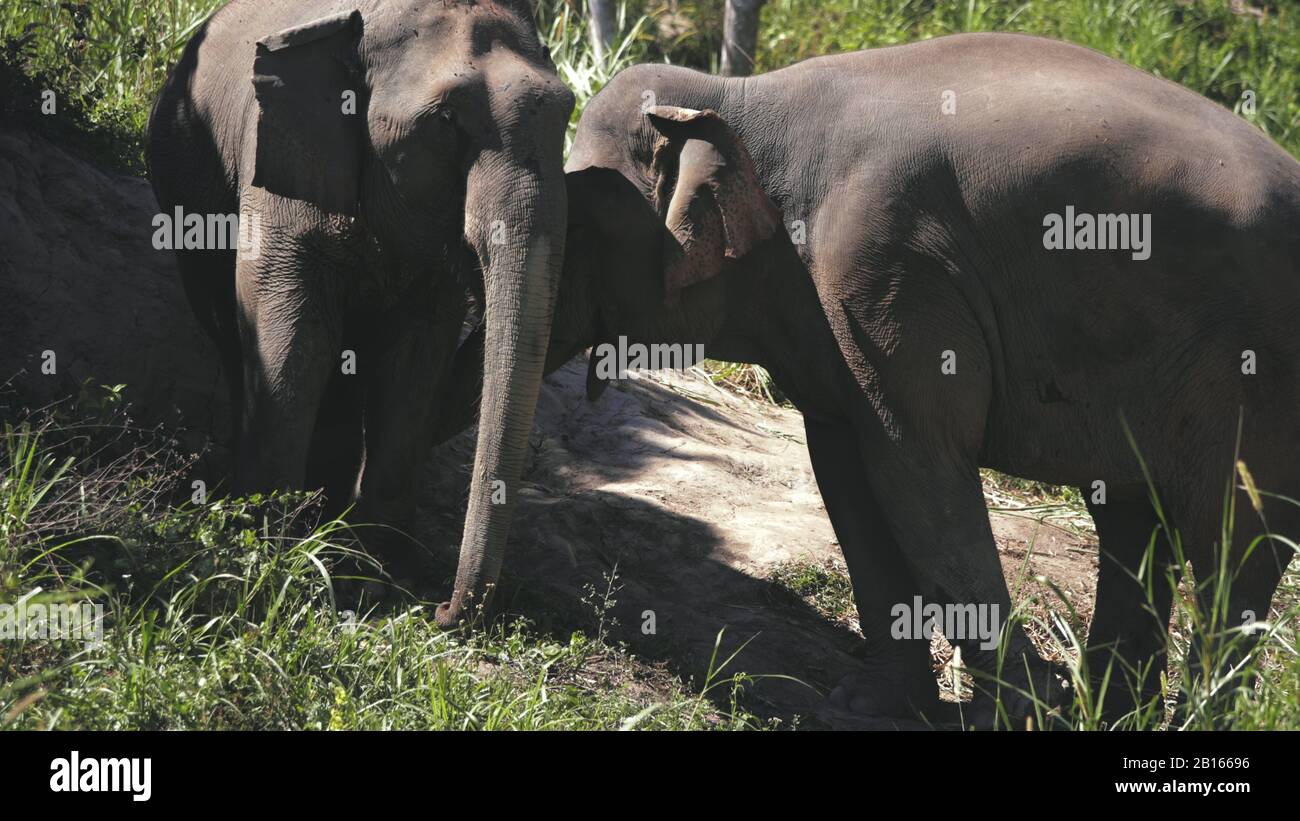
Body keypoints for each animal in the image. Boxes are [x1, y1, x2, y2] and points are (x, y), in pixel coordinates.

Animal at [147, 0, 574, 619]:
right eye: (447, 122)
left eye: (567, 117)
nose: (442, 611)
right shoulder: (284, 167)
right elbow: (294, 333)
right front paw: (267, 545)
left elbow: (417, 356)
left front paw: (379, 576)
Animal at [525, 32, 1299, 724]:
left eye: (579, 229)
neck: (740, 98)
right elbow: (847, 475)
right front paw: (865, 706)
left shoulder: (885, 269)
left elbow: (917, 469)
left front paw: (1020, 710)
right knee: (1135, 520)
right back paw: (1115, 716)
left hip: (1259, 370)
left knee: (1235, 543)